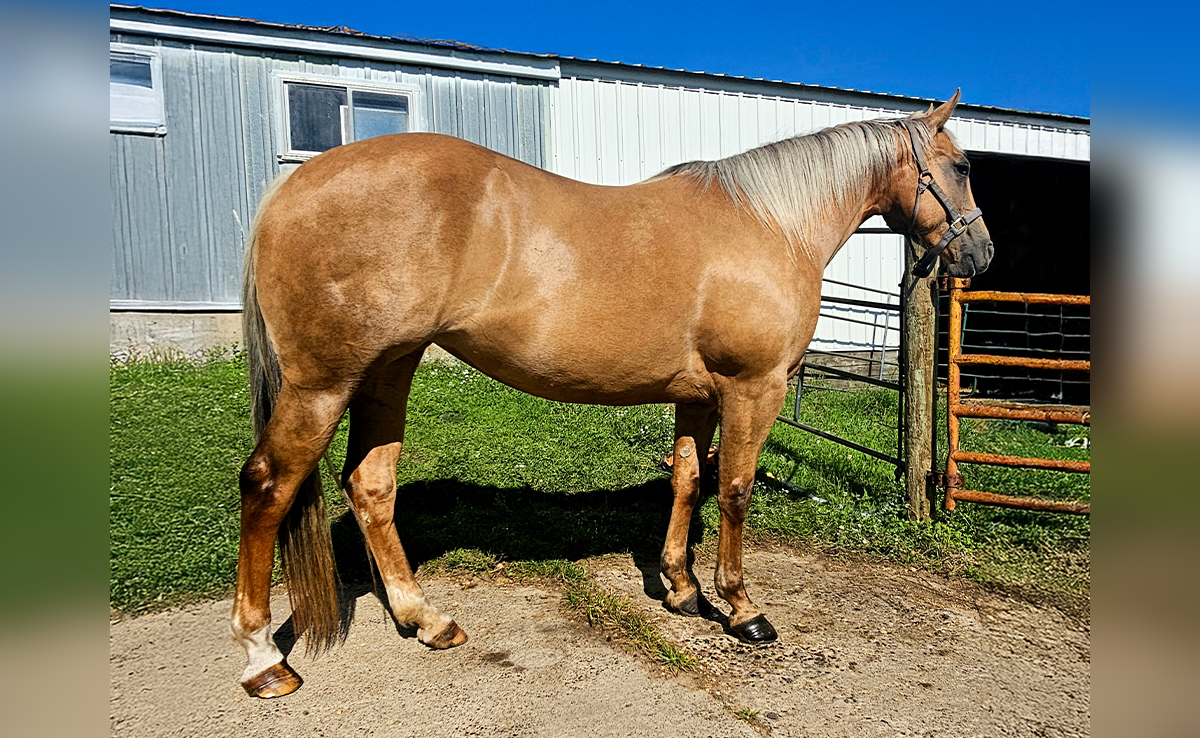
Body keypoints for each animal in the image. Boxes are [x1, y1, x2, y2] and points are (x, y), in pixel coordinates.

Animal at [231, 90, 992, 697]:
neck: (770, 223)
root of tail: (288, 189)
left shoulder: (699, 395)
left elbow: (688, 480)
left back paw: (426, 619)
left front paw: (681, 589)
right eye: (961, 167)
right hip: (324, 383)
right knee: (268, 485)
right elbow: (735, 489)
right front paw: (742, 610)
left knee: (370, 485)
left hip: (390, 368)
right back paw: (263, 657)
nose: (980, 255)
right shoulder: (754, 388)